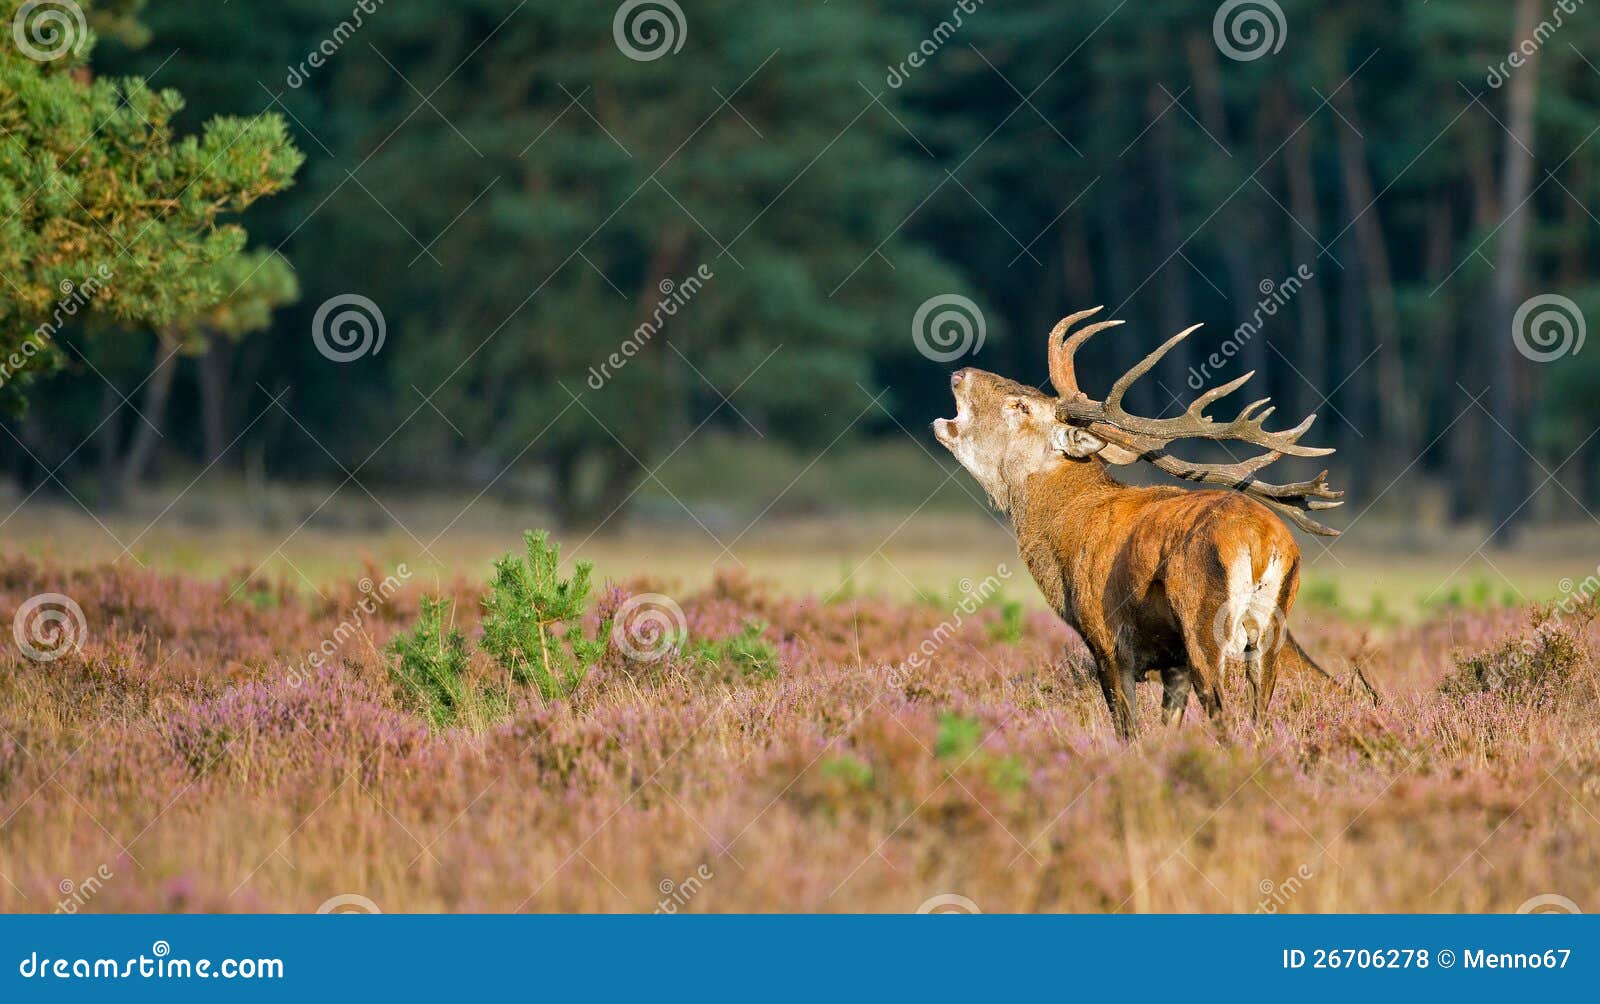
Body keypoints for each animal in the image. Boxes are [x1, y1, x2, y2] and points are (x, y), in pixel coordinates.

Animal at [933, 306, 1370, 739]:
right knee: (1260, 720)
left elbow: (1129, 733)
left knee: (1224, 717)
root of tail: (1264, 542)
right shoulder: (1173, 662)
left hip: (1205, 622)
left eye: (1020, 406)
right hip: (1270, 634)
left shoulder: (1108, 642)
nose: (960, 373)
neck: (1065, 532)